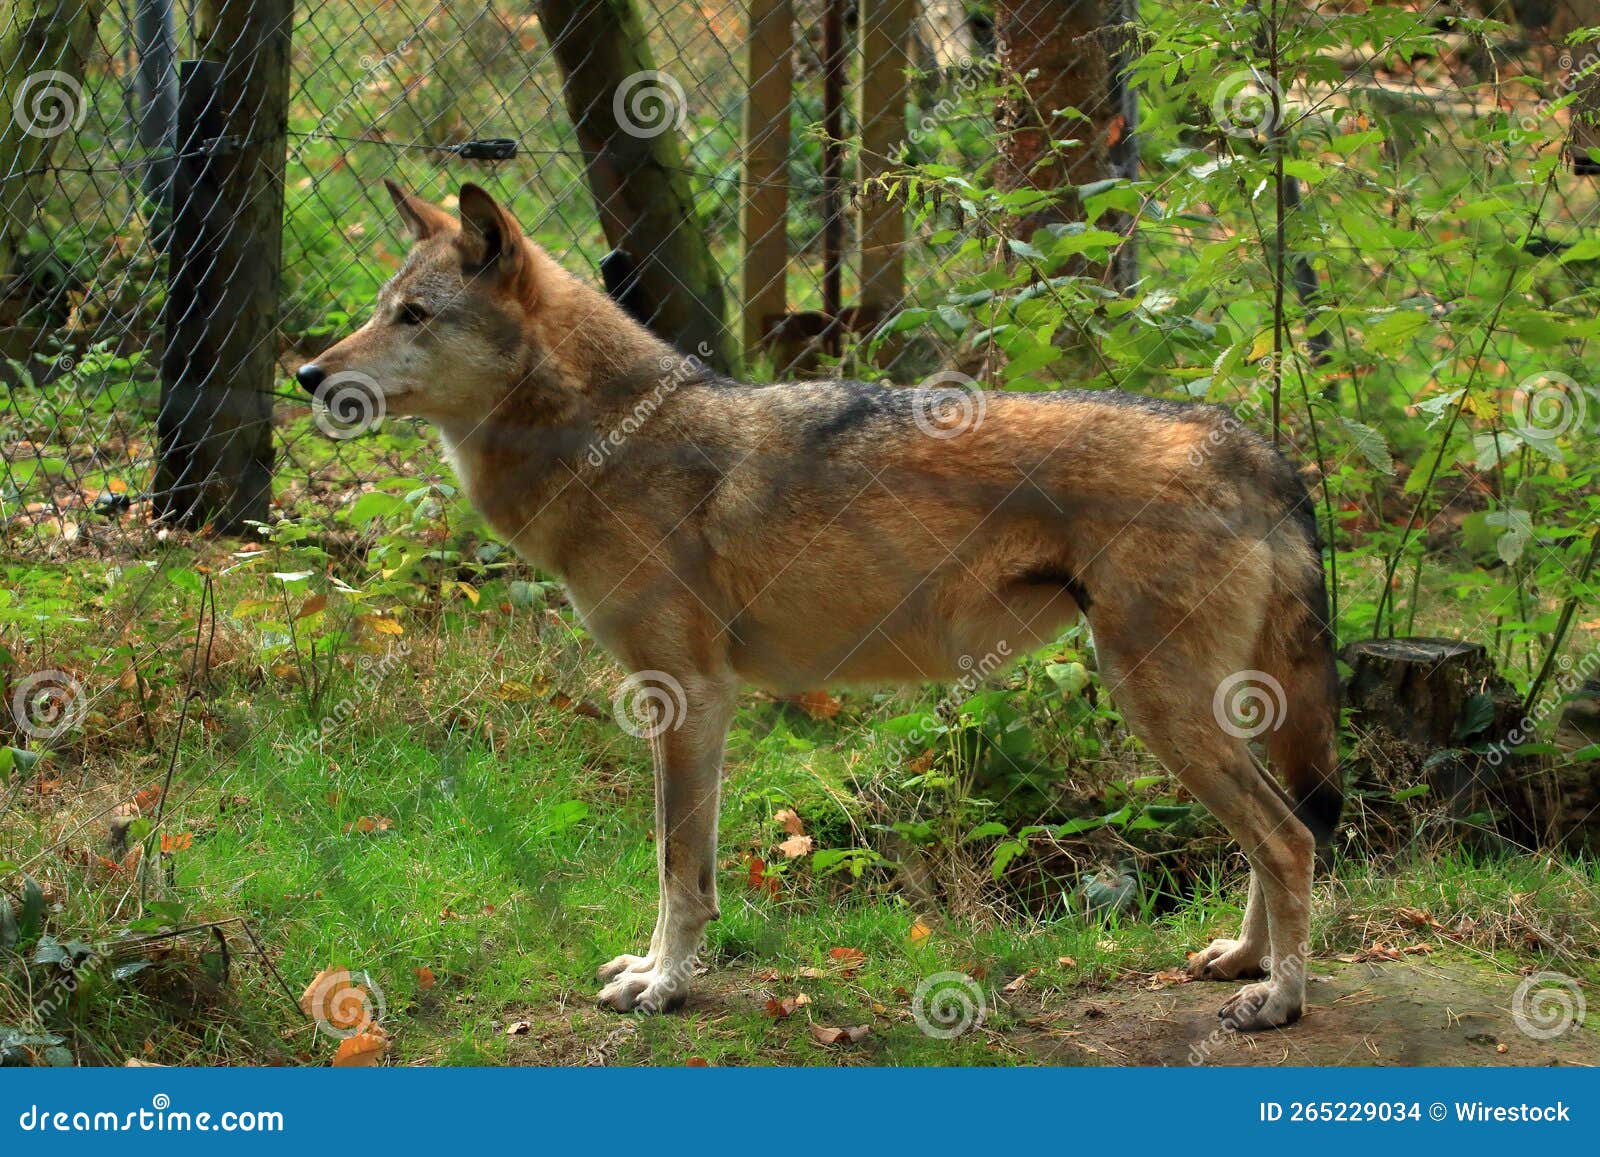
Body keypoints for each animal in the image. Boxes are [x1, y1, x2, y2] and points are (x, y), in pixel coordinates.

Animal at [298, 182, 1342, 1031]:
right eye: (381, 311)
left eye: (414, 316)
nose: (307, 375)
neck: (605, 441)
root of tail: (1253, 445)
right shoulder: (691, 705)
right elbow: (689, 868)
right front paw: (654, 970)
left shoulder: (688, 697)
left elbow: (676, 868)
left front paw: (663, 988)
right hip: (1195, 708)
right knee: (1274, 834)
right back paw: (1242, 962)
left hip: (1156, 703)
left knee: (1289, 837)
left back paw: (1279, 1000)